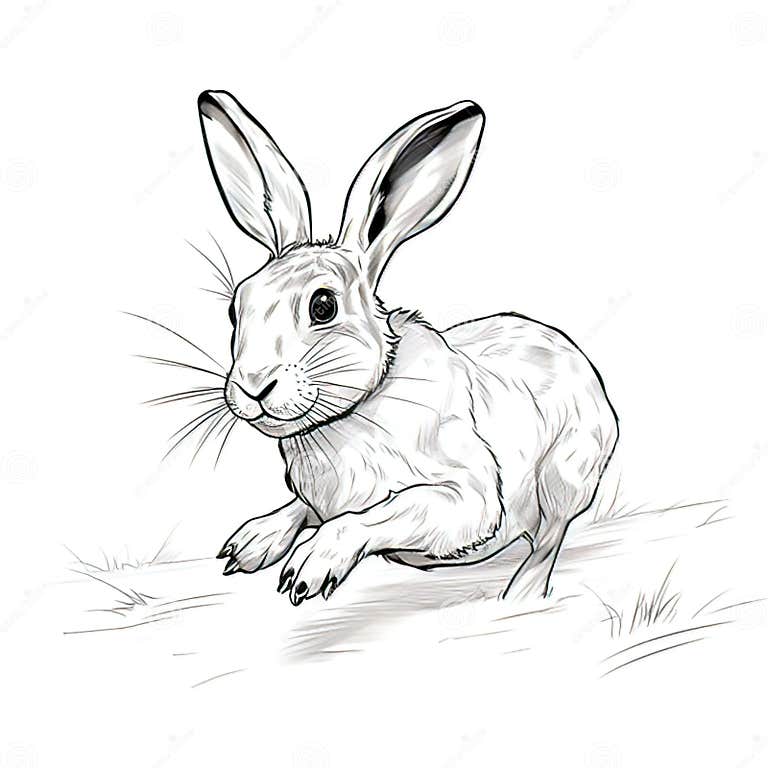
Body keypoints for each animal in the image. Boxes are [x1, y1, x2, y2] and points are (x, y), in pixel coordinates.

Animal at [198, 90, 619, 606]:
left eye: (323, 305)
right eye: (235, 308)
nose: (253, 387)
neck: (352, 415)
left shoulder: (465, 493)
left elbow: (374, 516)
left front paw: (311, 567)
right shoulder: (315, 497)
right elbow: (301, 507)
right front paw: (250, 543)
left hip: (567, 472)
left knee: (550, 535)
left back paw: (521, 593)